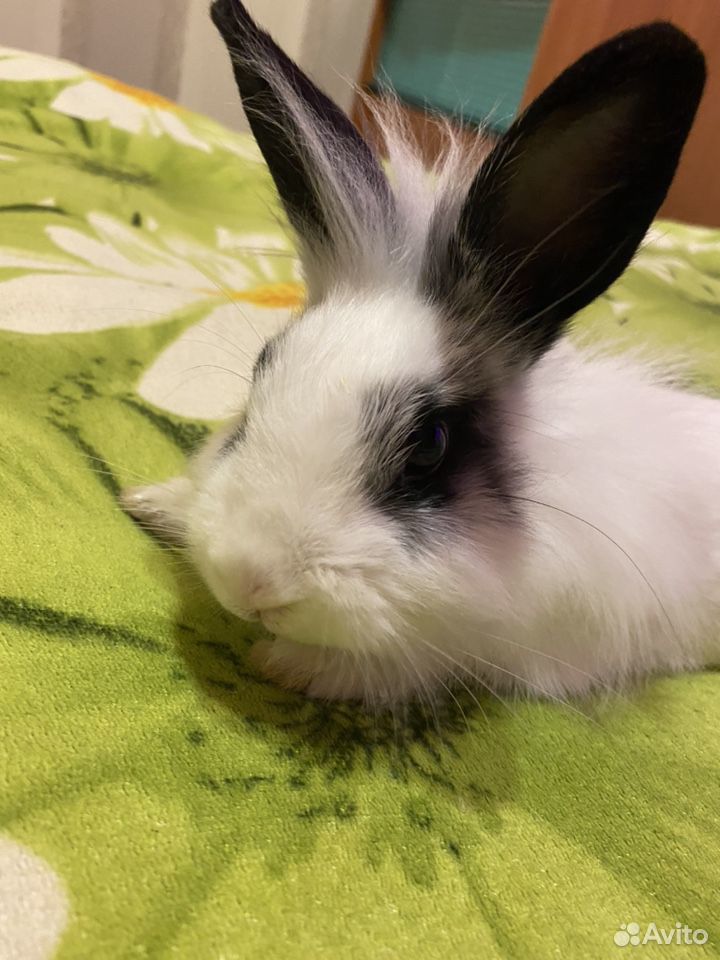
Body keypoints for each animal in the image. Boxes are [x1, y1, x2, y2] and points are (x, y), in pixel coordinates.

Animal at [122, 0, 720, 708]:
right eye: (258, 378)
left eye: (430, 446)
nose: (250, 582)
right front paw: (149, 502)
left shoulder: (488, 650)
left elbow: (392, 669)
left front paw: (287, 662)